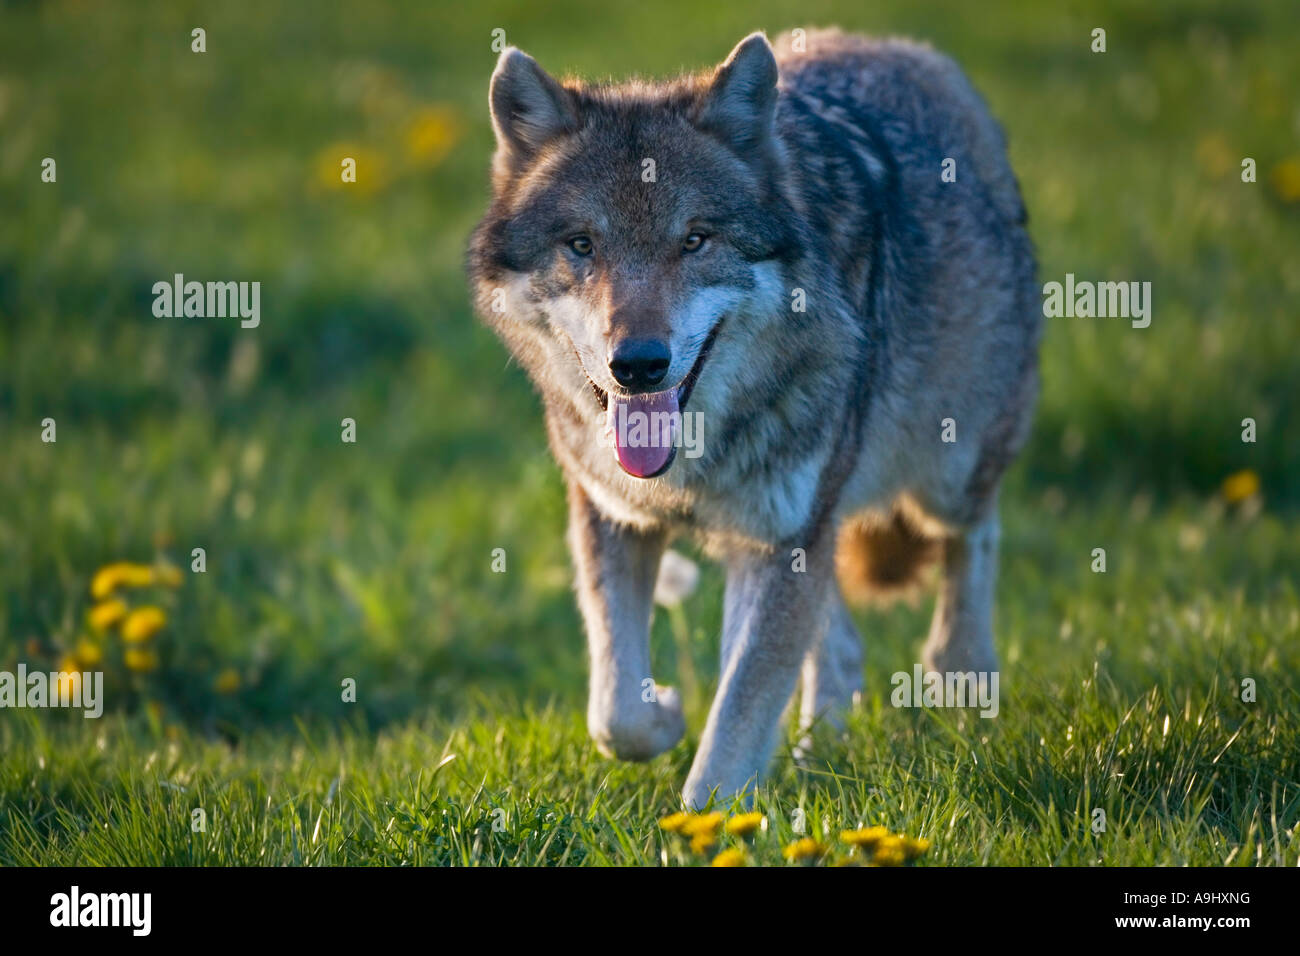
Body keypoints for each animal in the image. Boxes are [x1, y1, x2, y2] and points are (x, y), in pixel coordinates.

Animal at [467, 28, 1040, 808]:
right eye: (582, 244)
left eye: (695, 240)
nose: (637, 365)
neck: (695, 464)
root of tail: (902, 47)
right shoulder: (616, 511)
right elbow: (615, 713)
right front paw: (665, 712)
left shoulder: (779, 540)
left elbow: (736, 720)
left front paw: (707, 819)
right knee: (842, 647)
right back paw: (819, 754)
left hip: (943, 477)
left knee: (973, 539)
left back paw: (960, 675)